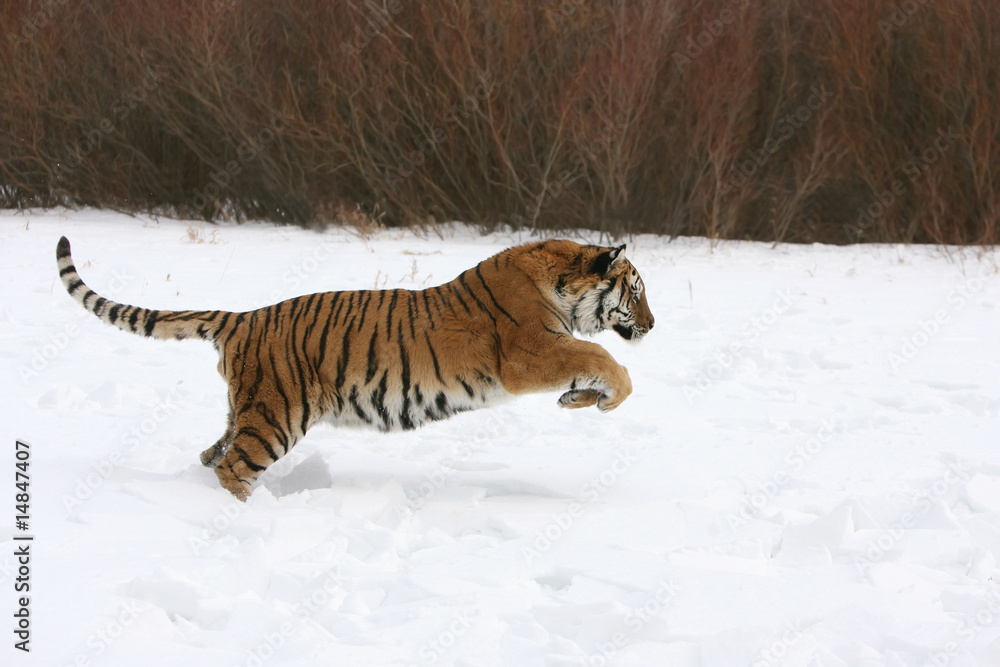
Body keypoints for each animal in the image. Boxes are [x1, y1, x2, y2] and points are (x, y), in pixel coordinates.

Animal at [56, 237, 654, 501]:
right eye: (637, 291)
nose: (653, 324)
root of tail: (243, 318)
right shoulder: (531, 353)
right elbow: (606, 361)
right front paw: (605, 396)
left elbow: (594, 367)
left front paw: (578, 400)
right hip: (276, 415)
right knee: (234, 467)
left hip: (246, 408)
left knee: (213, 455)